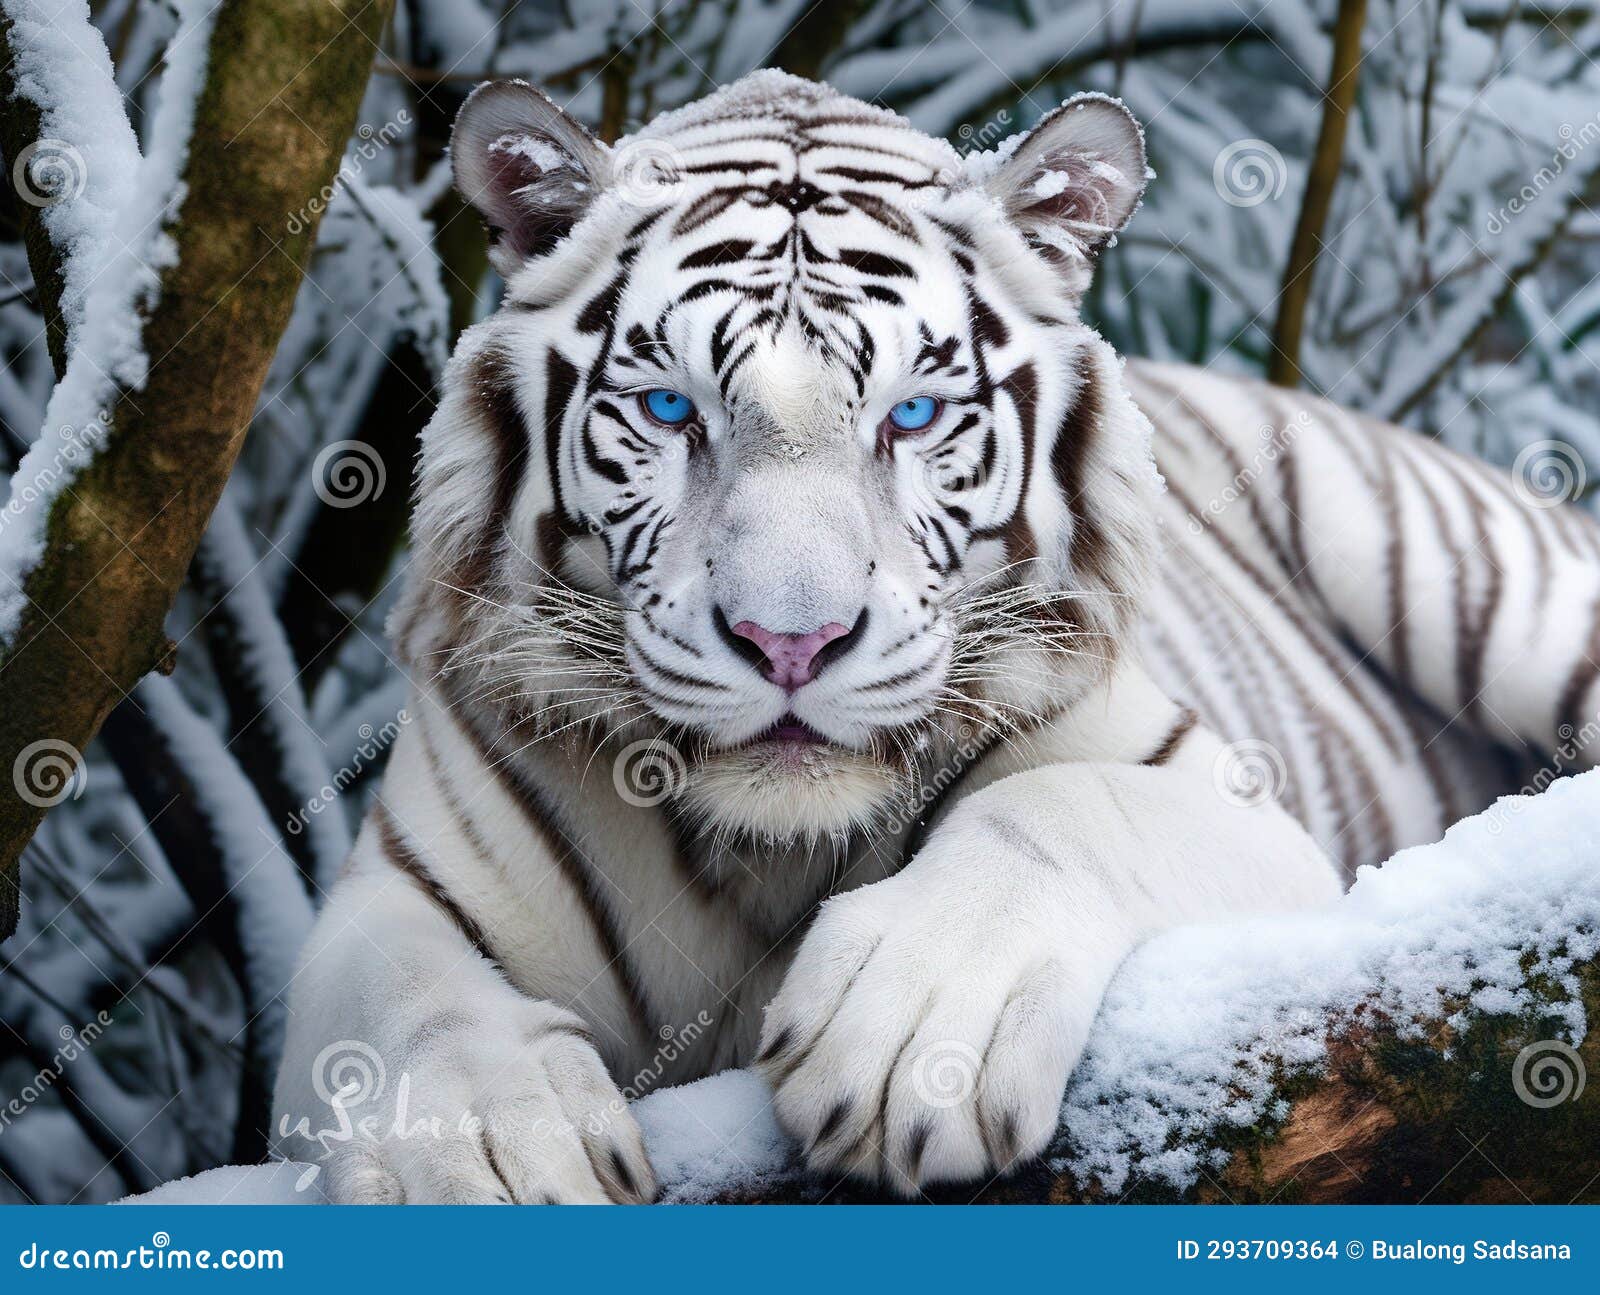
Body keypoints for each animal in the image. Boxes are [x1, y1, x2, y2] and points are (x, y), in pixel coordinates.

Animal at [271, 70, 1600, 1204]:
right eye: (666, 407)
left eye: (911, 414)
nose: (790, 641)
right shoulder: (391, 886)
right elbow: (402, 993)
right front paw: (482, 1154)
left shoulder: (1233, 805)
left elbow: (1058, 805)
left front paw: (911, 1030)